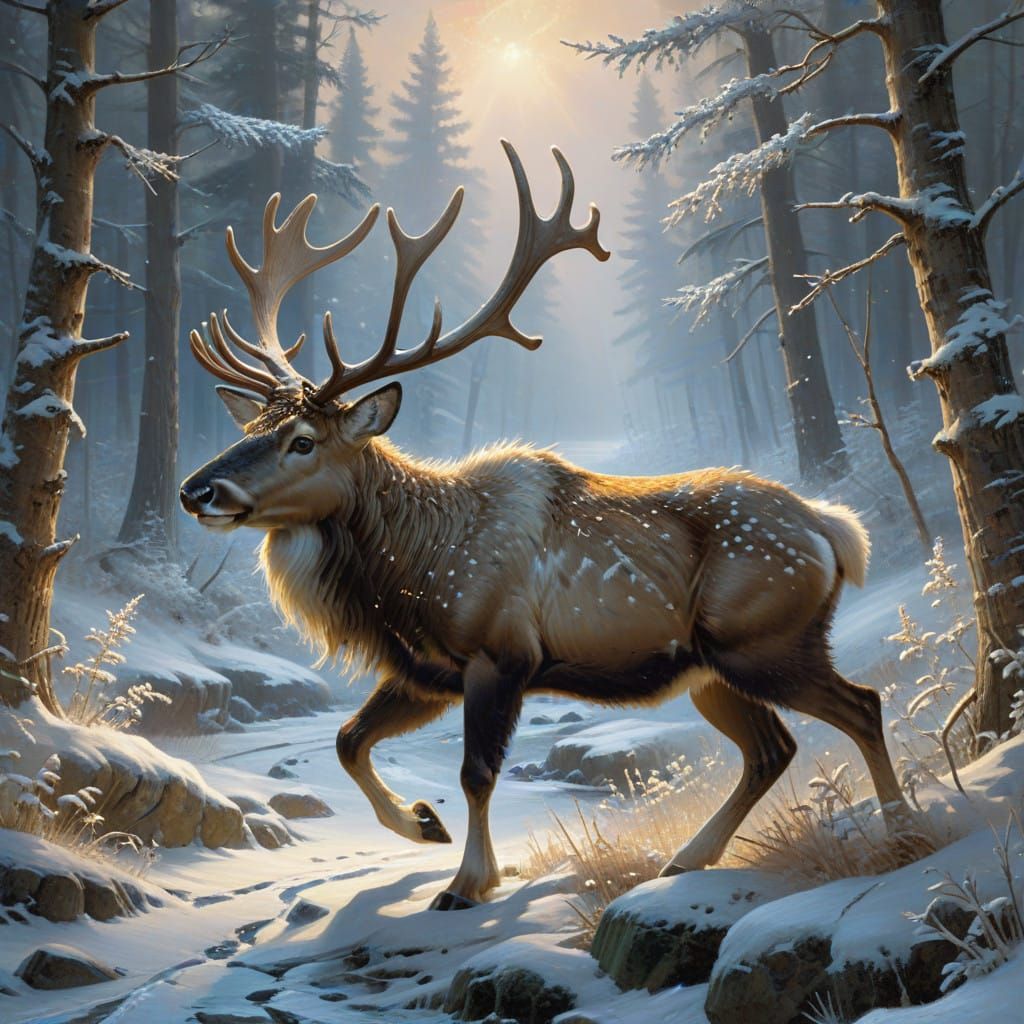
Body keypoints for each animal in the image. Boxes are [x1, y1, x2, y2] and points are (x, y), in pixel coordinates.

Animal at [179, 141, 912, 911]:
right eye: (253, 428)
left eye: (303, 441)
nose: (198, 490)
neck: (410, 574)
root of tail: (835, 532)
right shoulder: (427, 671)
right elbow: (350, 739)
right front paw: (425, 823)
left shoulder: (501, 652)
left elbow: (476, 772)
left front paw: (467, 883)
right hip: (713, 667)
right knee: (773, 747)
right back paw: (684, 860)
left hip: (765, 639)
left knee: (862, 705)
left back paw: (899, 834)